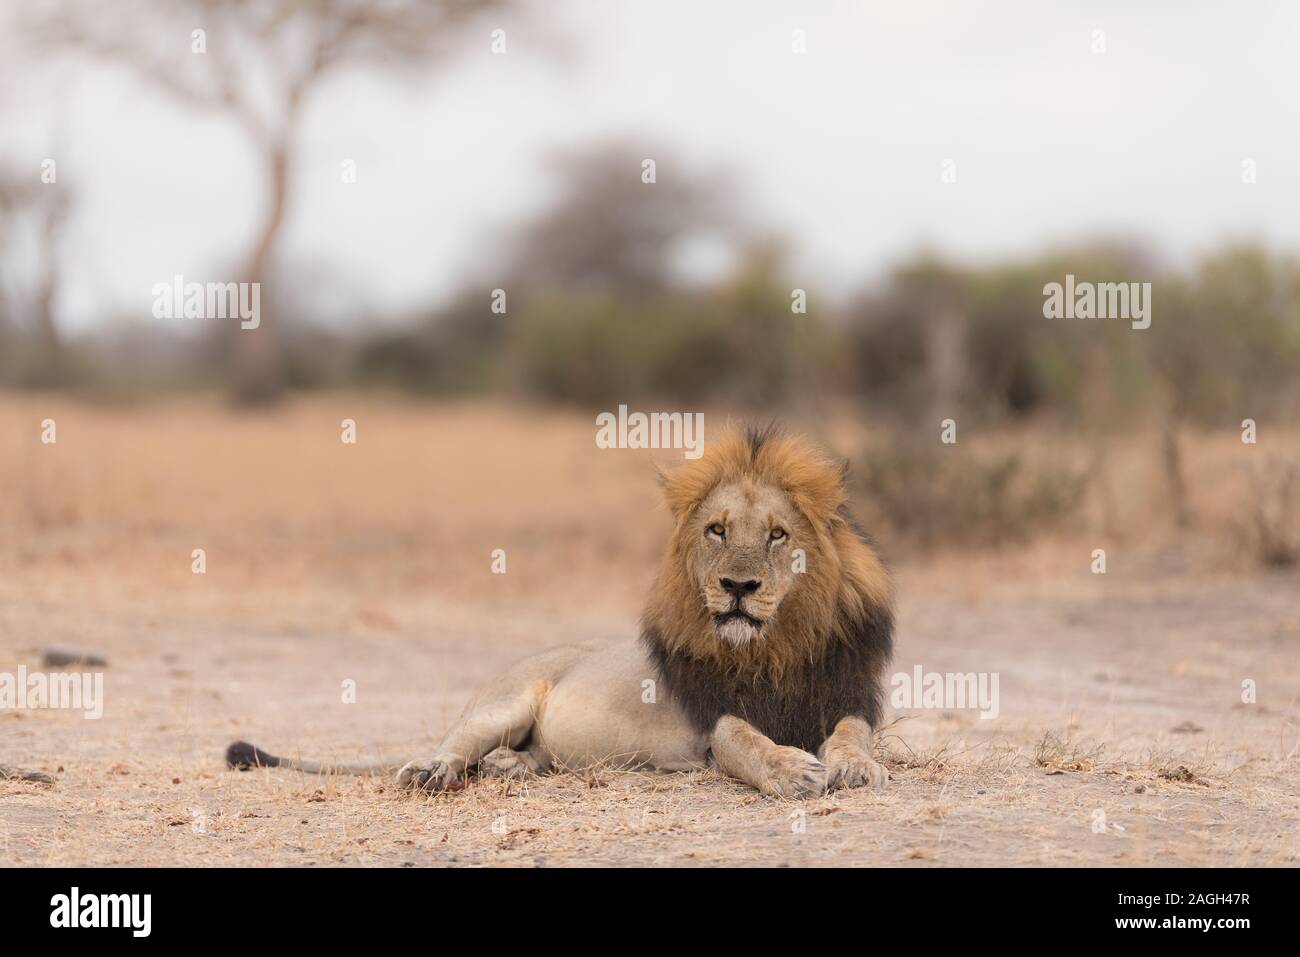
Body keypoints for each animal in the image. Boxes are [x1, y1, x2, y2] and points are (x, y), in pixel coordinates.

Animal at [227, 425, 894, 798]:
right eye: (717, 531)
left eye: (778, 535)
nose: (737, 585)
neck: (774, 649)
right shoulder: (711, 721)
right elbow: (746, 741)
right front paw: (793, 771)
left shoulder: (848, 695)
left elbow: (853, 735)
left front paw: (856, 768)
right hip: (501, 702)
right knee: (451, 745)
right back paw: (433, 772)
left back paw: (510, 769)